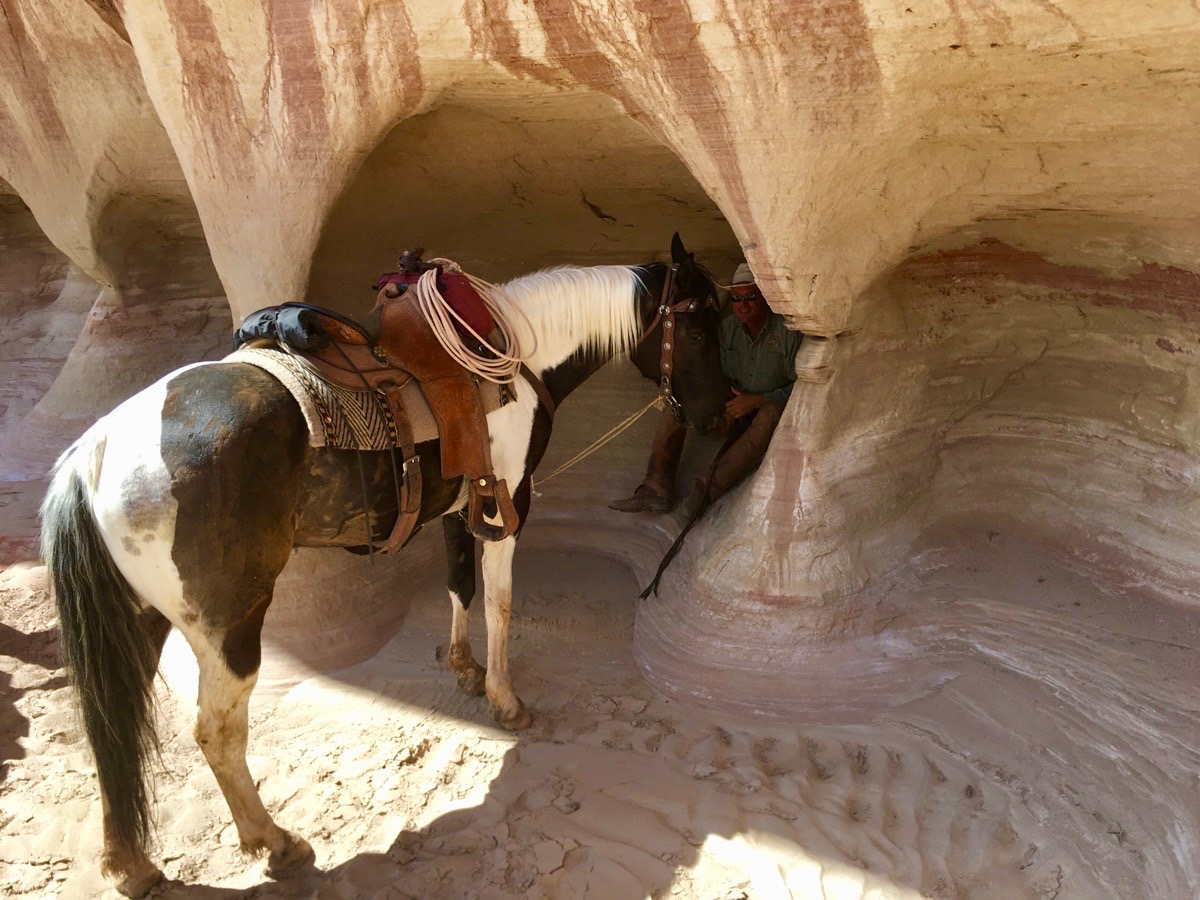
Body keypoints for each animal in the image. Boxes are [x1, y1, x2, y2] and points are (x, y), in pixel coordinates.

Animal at [41, 234, 729, 897]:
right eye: (698, 329)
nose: (718, 414)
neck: (517, 354)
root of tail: (96, 449)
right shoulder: (509, 501)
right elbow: (501, 602)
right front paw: (506, 700)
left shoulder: (462, 505)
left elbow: (459, 586)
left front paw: (465, 670)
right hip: (229, 624)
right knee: (217, 731)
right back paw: (276, 843)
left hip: (141, 620)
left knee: (113, 730)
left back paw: (131, 865)